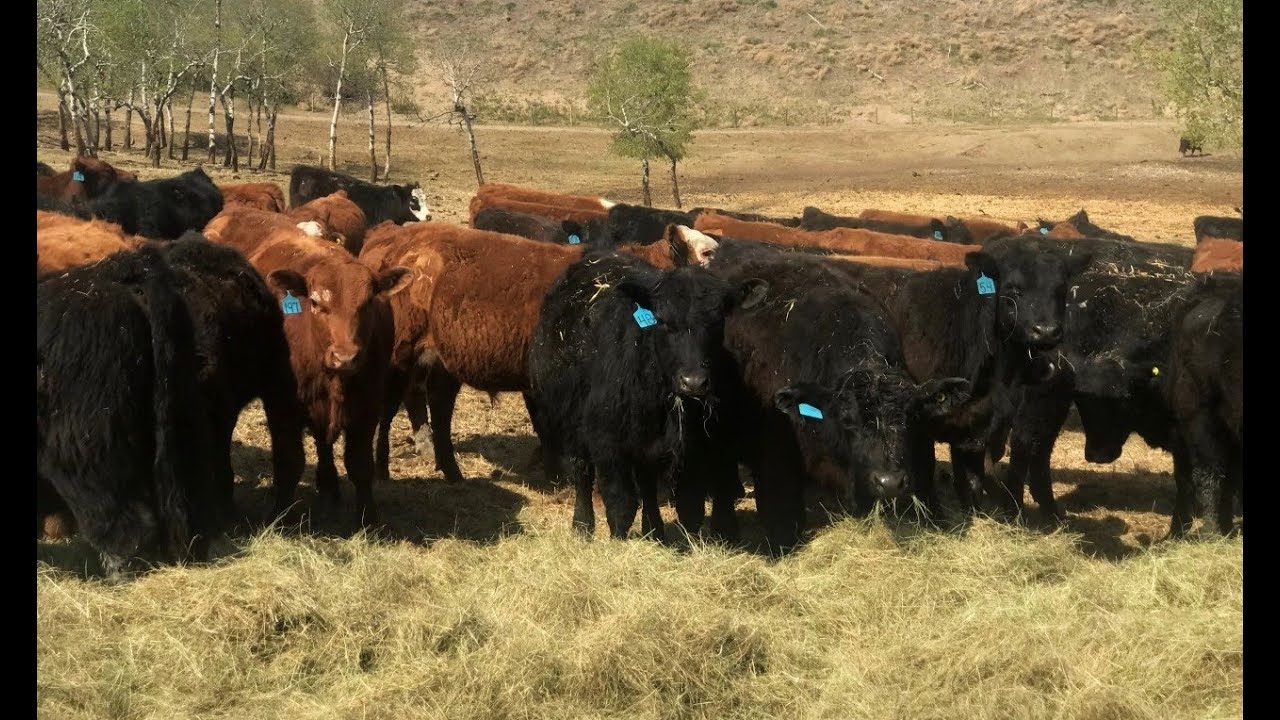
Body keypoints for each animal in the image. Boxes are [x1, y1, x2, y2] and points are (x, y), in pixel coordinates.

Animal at [209, 215, 412, 521]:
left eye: (367, 303)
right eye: (315, 302)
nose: (345, 357)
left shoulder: (368, 405)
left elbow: (360, 464)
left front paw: (368, 518)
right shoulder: (281, 404)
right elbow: (289, 462)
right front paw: (279, 515)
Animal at [359, 222, 713, 486]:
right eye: (708, 252)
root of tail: (393, 237)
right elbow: (552, 427)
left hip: (443, 363)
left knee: (440, 409)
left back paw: (452, 472)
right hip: (399, 357)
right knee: (389, 410)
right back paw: (382, 469)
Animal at [527, 252, 767, 541]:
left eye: (718, 321)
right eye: (662, 321)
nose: (694, 382)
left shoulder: (699, 446)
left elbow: (693, 504)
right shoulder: (607, 441)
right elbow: (621, 502)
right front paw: (619, 540)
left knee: (646, 483)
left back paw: (653, 529)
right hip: (572, 421)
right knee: (582, 471)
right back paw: (583, 525)